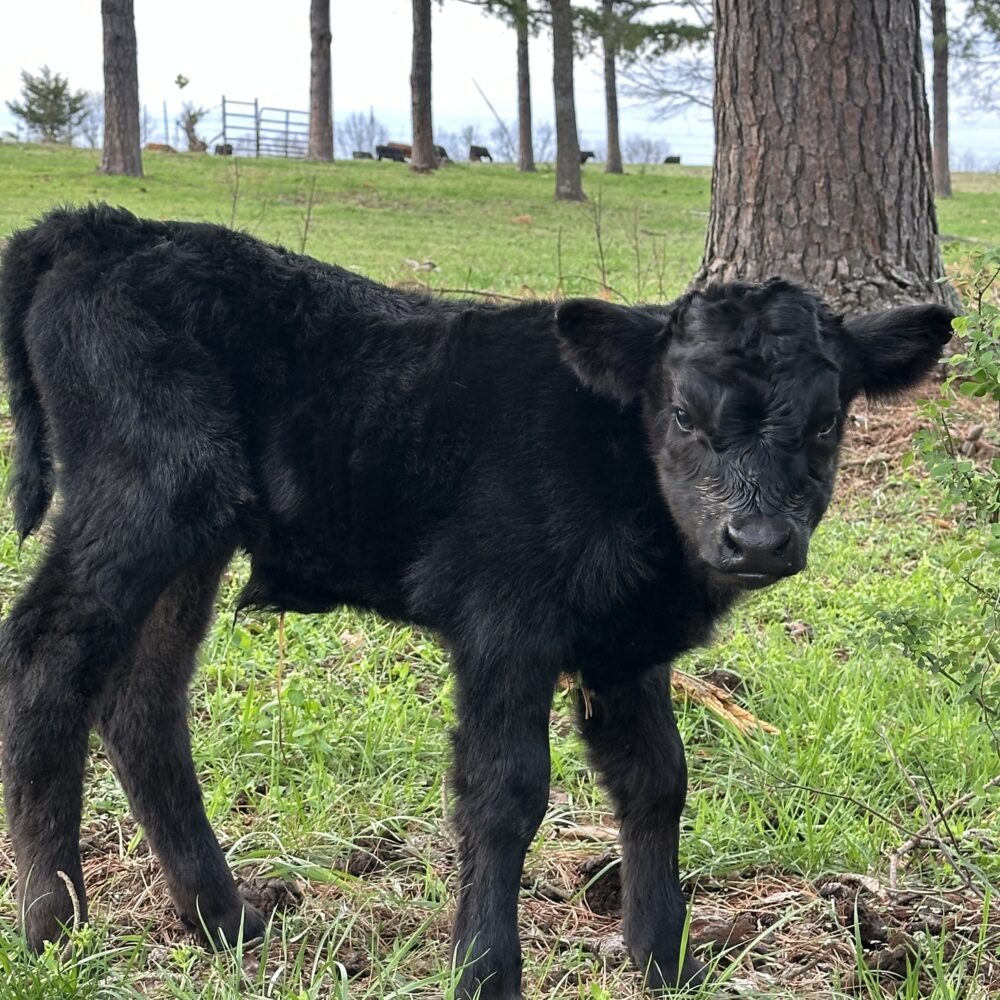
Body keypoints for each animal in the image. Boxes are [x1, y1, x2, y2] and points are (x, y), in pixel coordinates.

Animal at [0, 205, 953, 999]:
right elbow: (505, 789)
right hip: (143, 498)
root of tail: (104, 228)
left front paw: (667, 961)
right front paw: (486, 972)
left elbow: (657, 779)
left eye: (827, 422)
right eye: (682, 414)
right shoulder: (504, 621)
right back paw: (56, 928)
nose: (756, 541)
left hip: (195, 533)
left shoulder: (624, 646)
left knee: (143, 697)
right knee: (45, 659)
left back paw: (225, 922)